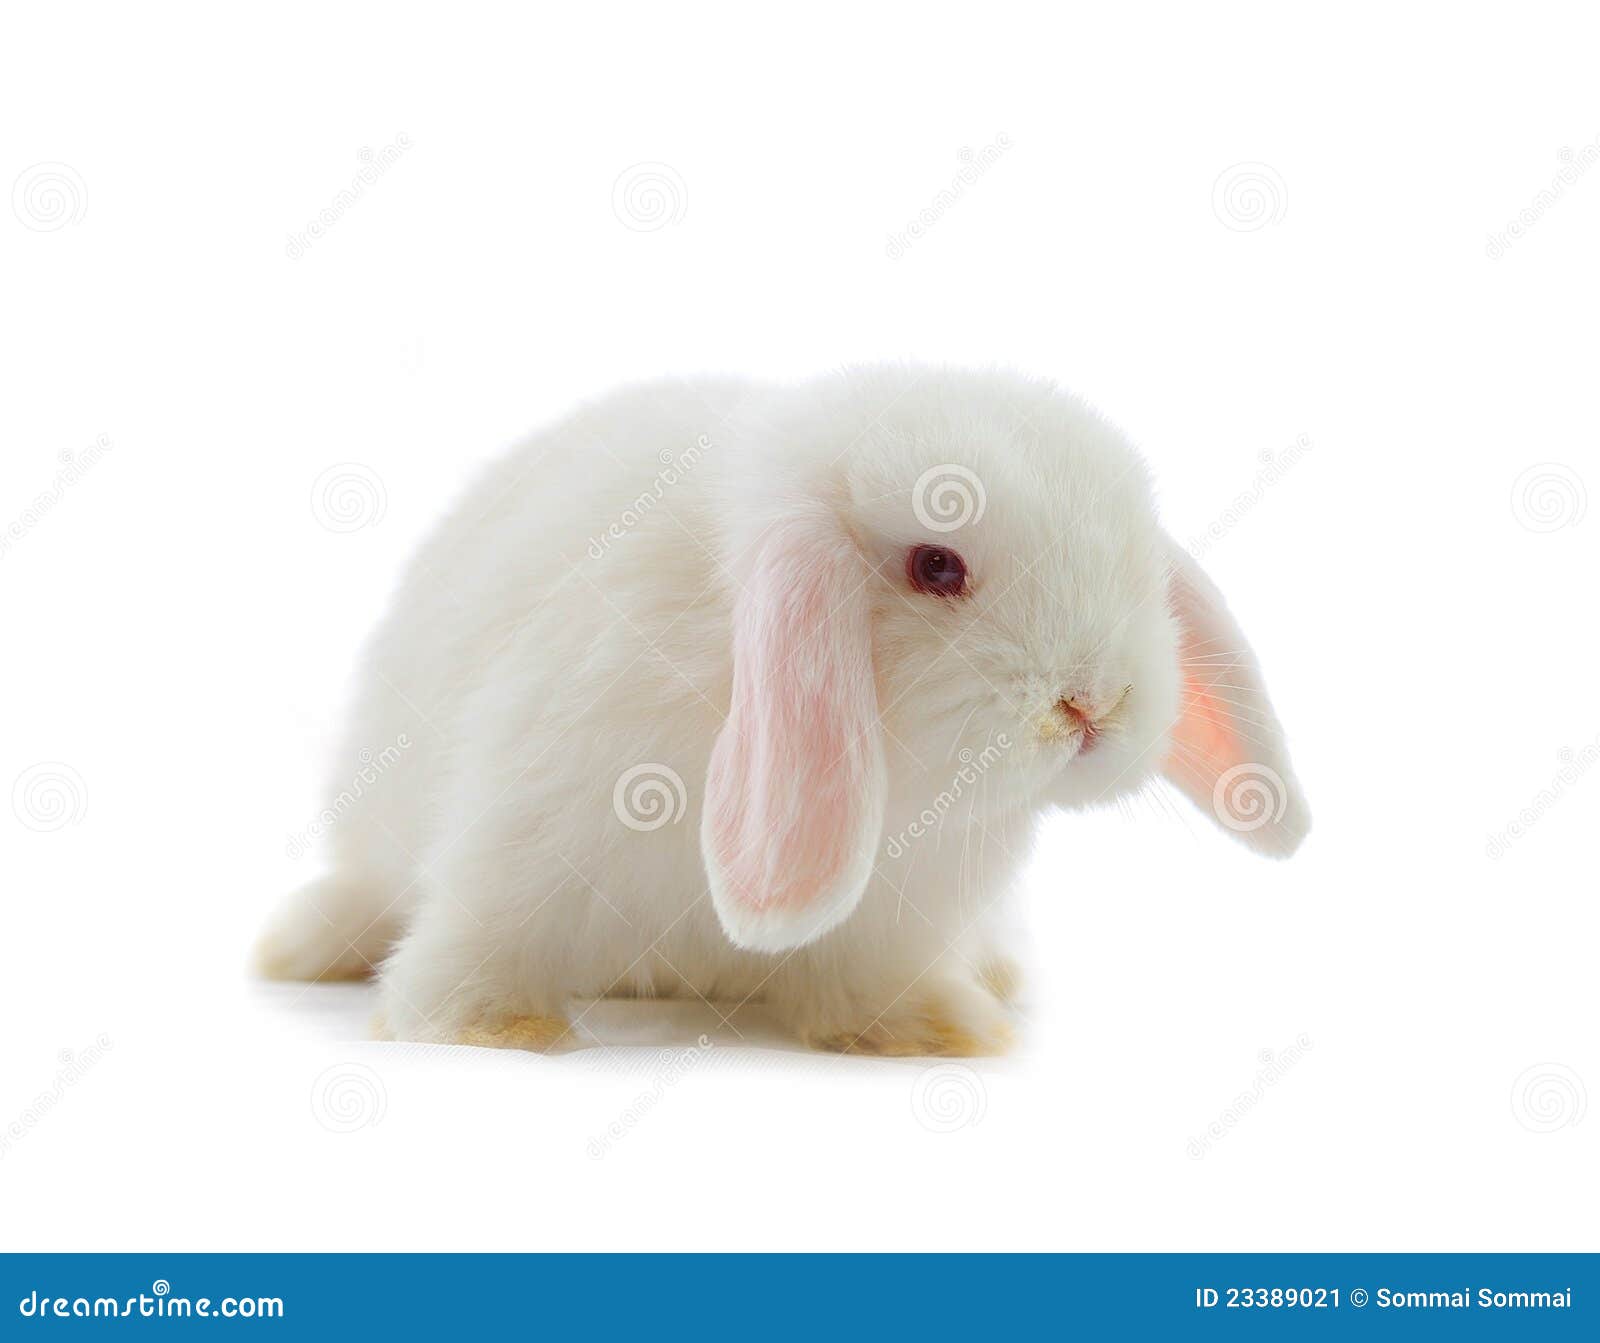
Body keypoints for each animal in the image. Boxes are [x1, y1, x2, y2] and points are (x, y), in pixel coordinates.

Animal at [256, 365, 1309, 1055]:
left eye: (1141, 567)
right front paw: (493, 1028)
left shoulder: (894, 920)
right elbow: (481, 936)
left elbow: (865, 981)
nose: (1095, 701)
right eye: (937, 564)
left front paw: (933, 1030)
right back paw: (303, 946)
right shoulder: (524, 834)